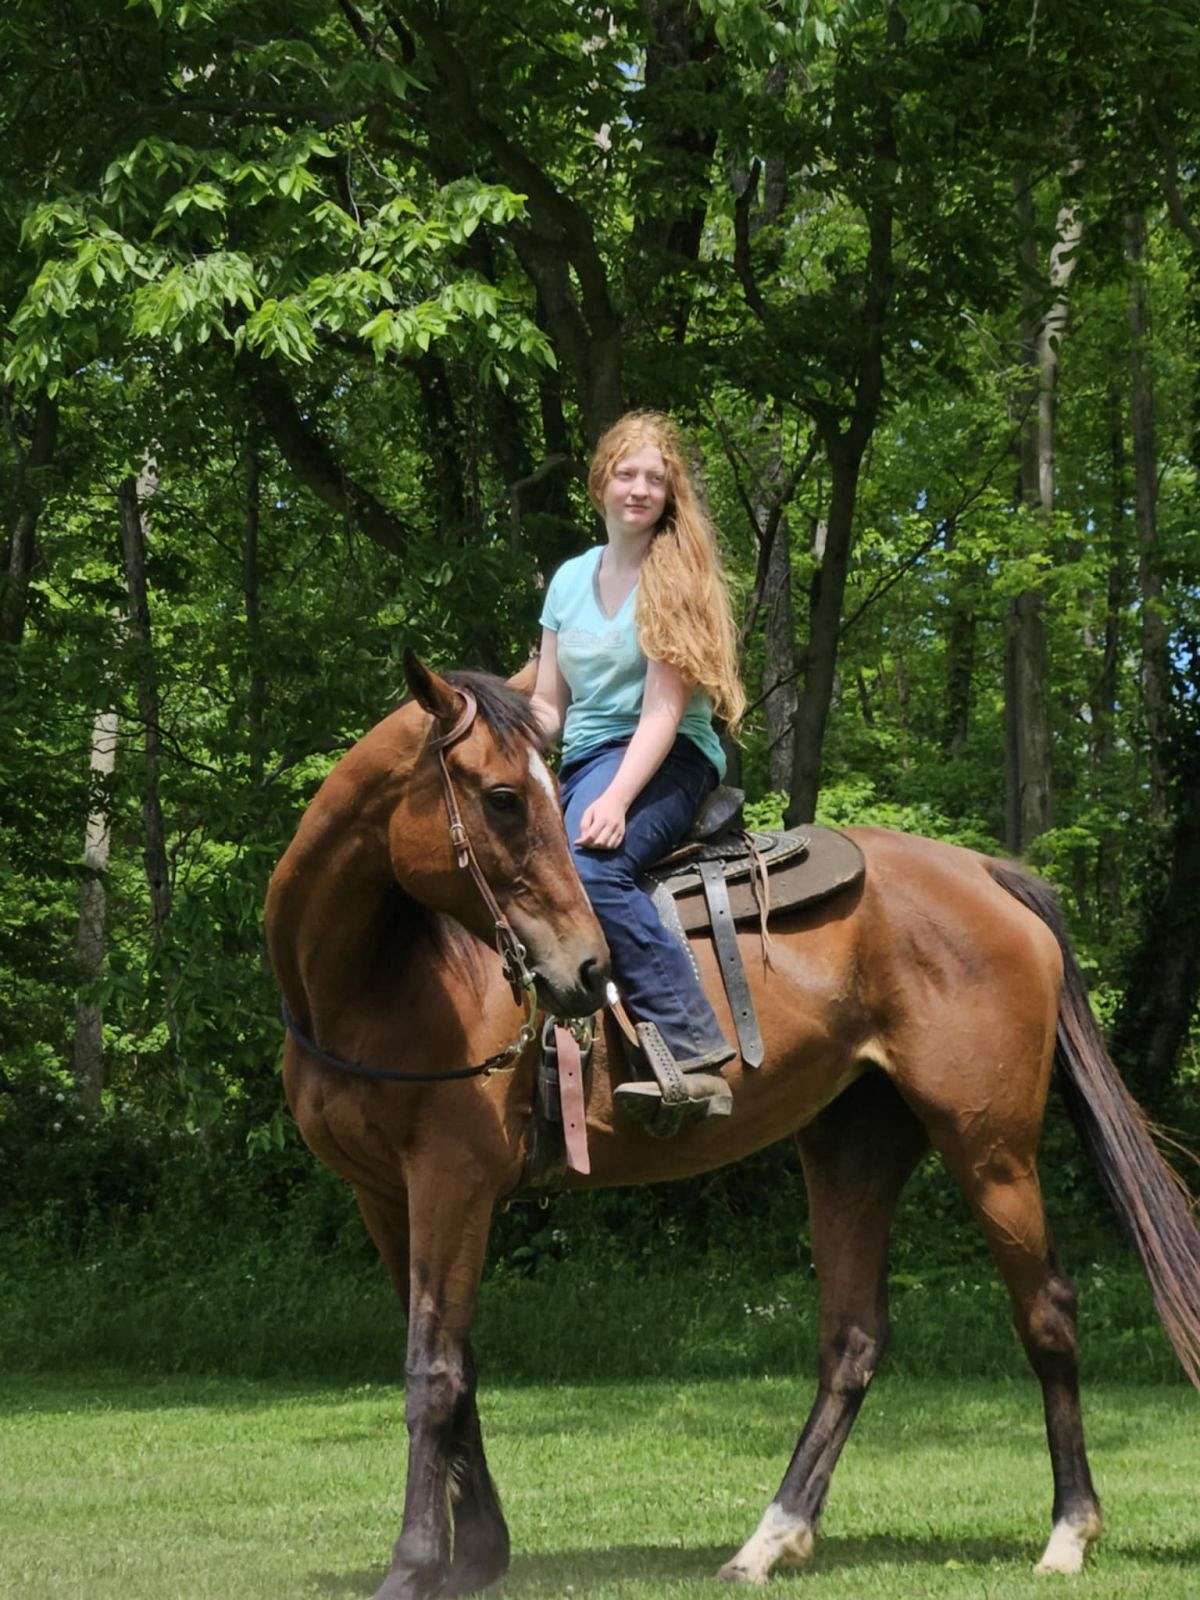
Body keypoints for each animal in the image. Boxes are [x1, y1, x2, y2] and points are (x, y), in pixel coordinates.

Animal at [265, 653, 1200, 1600]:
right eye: (500, 797)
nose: (586, 969)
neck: (381, 982)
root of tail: (985, 872)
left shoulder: (453, 1181)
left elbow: (433, 1371)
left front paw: (417, 1563)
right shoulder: (387, 1194)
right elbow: (457, 1363)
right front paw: (480, 1553)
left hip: (990, 1148)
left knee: (1046, 1313)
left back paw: (1068, 1531)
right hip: (855, 1146)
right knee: (852, 1339)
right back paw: (770, 1540)